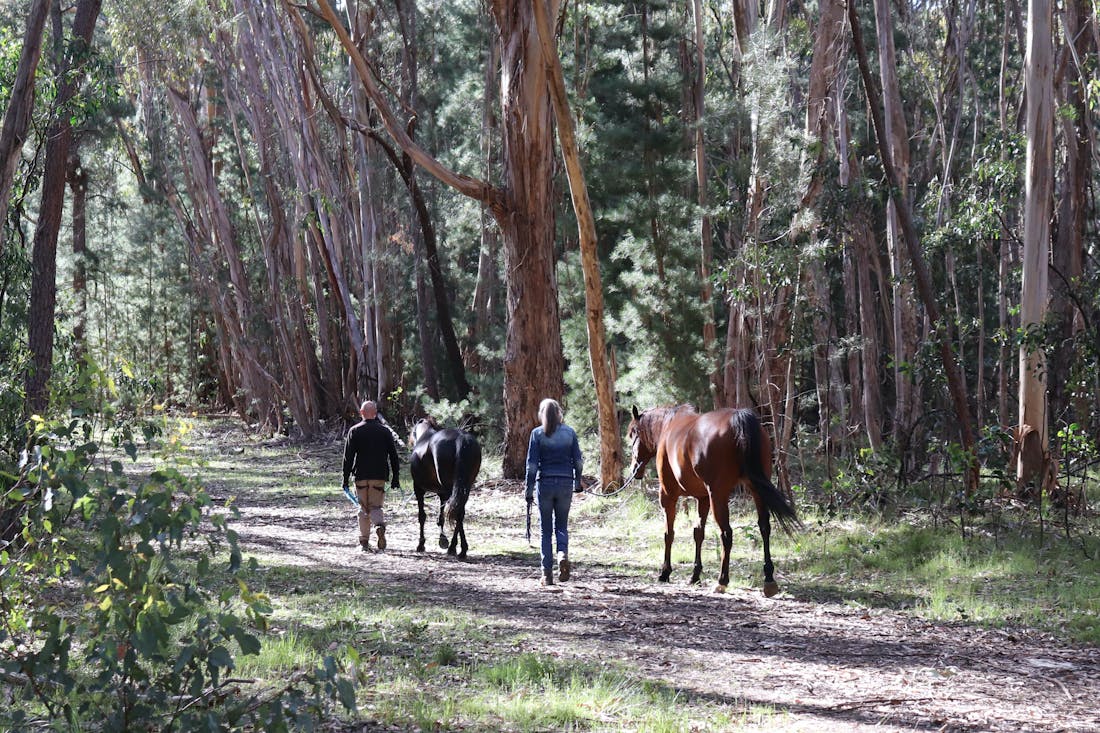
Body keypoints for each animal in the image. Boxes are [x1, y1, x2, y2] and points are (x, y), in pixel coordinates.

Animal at [409, 417, 482, 558]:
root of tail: (461, 439)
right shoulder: (442, 494)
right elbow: (441, 517)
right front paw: (443, 540)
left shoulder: (418, 489)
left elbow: (422, 516)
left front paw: (421, 544)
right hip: (465, 487)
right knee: (459, 512)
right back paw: (460, 549)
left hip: (450, 488)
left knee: (456, 513)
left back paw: (455, 548)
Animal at [626, 404, 798, 596]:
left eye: (633, 434)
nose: (634, 469)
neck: (668, 425)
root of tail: (738, 418)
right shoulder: (702, 498)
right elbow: (698, 533)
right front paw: (695, 575)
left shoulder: (667, 495)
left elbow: (668, 533)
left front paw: (665, 572)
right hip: (756, 489)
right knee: (764, 527)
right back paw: (768, 579)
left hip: (718, 495)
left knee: (726, 533)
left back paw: (722, 581)